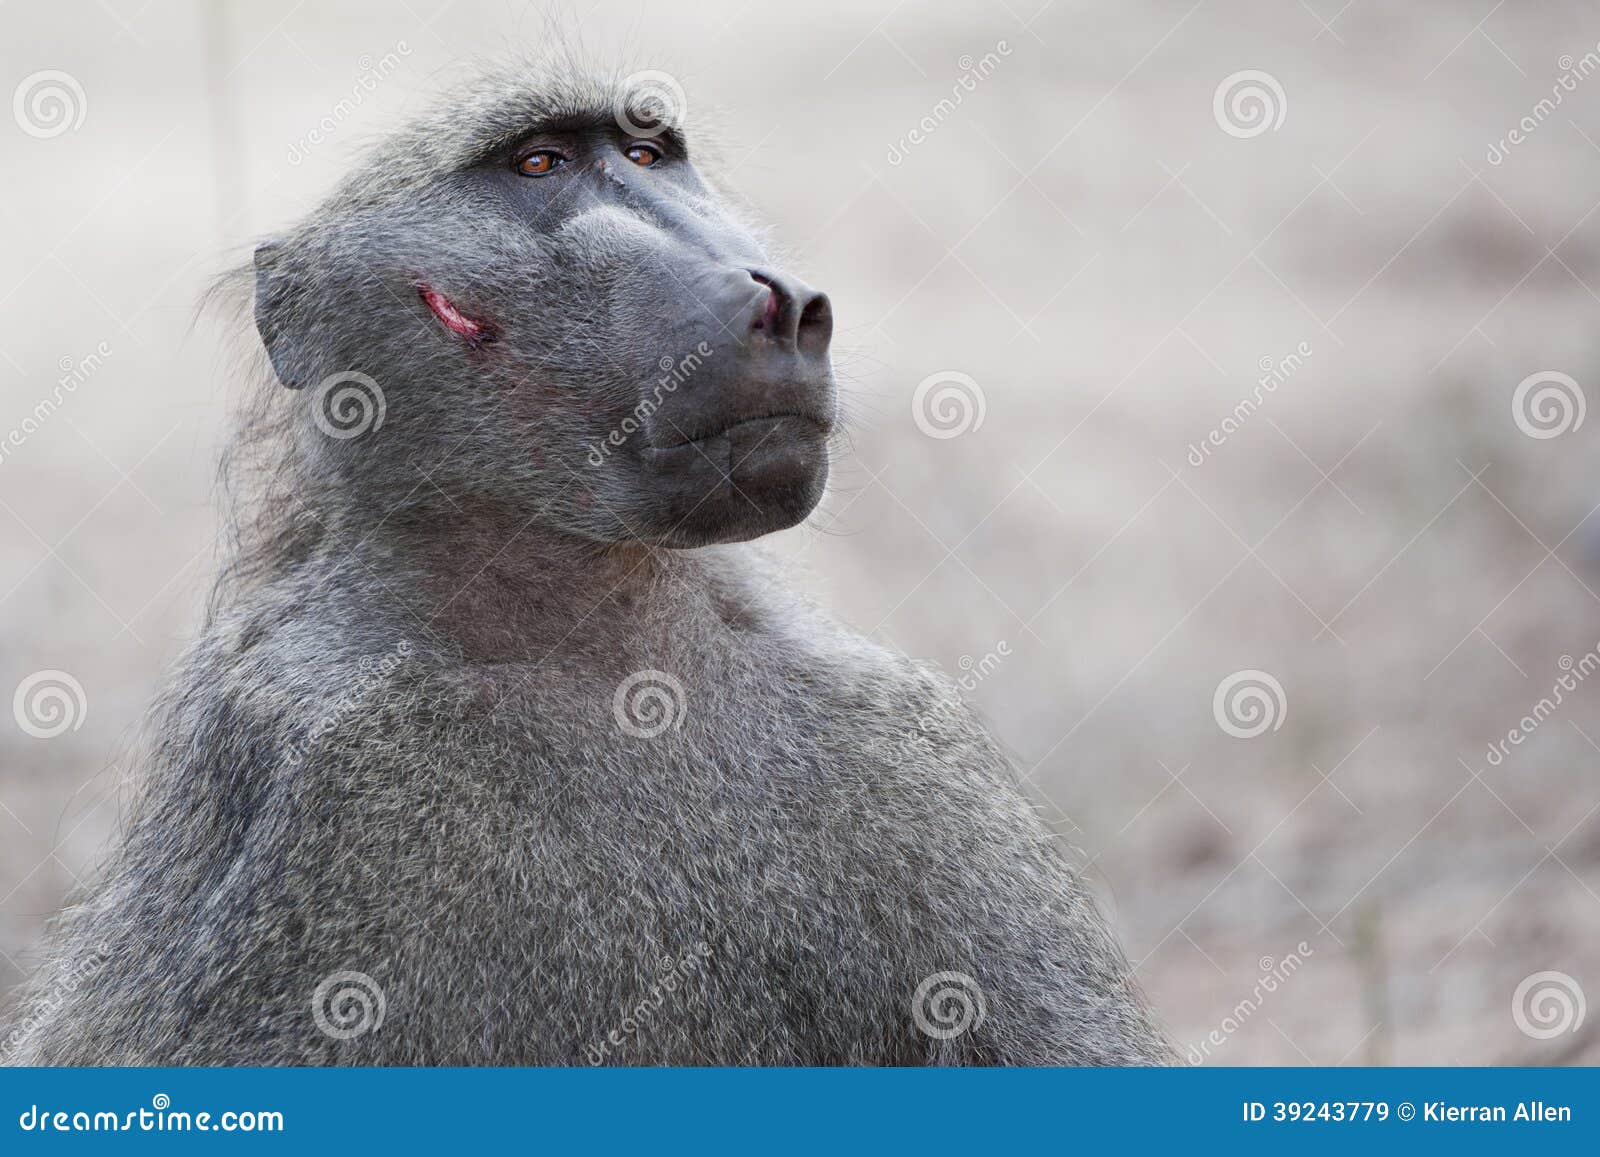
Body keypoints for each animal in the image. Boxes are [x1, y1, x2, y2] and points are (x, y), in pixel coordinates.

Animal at [3, 57, 1169, 1066]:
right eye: (539, 164)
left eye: (650, 155)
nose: (784, 303)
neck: (604, 649)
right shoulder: (315, 768)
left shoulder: (891, 726)